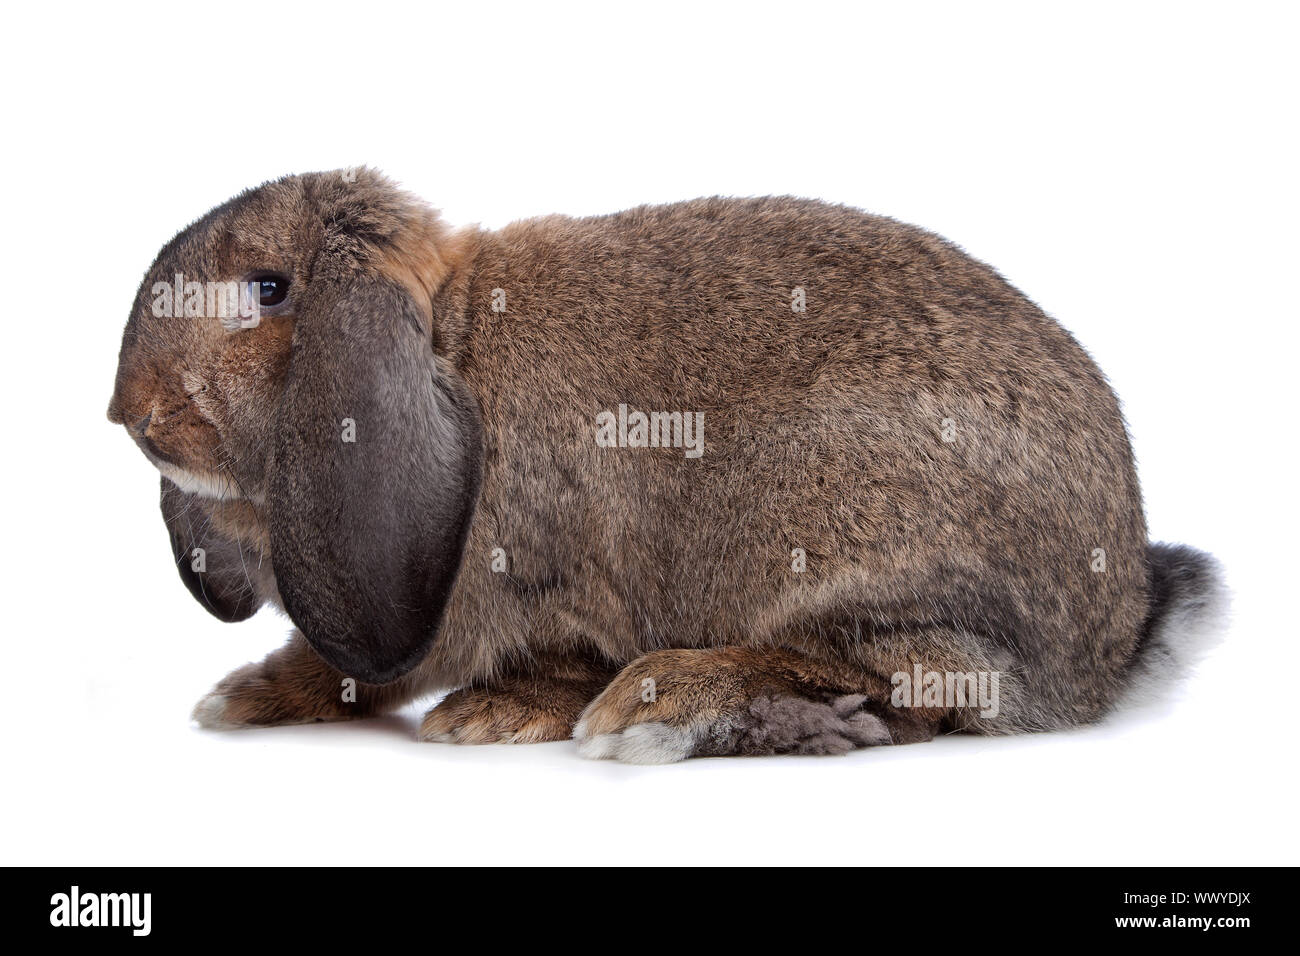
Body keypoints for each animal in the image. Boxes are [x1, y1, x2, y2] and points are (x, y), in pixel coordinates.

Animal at [107, 168, 1225, 763]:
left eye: (269, 288)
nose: (131, 414)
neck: (454, 348)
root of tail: (1108, 641)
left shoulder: (544, 587)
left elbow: (537, 659)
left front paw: (492, 715)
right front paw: (248, 696)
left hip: (838, 531)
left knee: (915, 686)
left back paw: (668, 702)